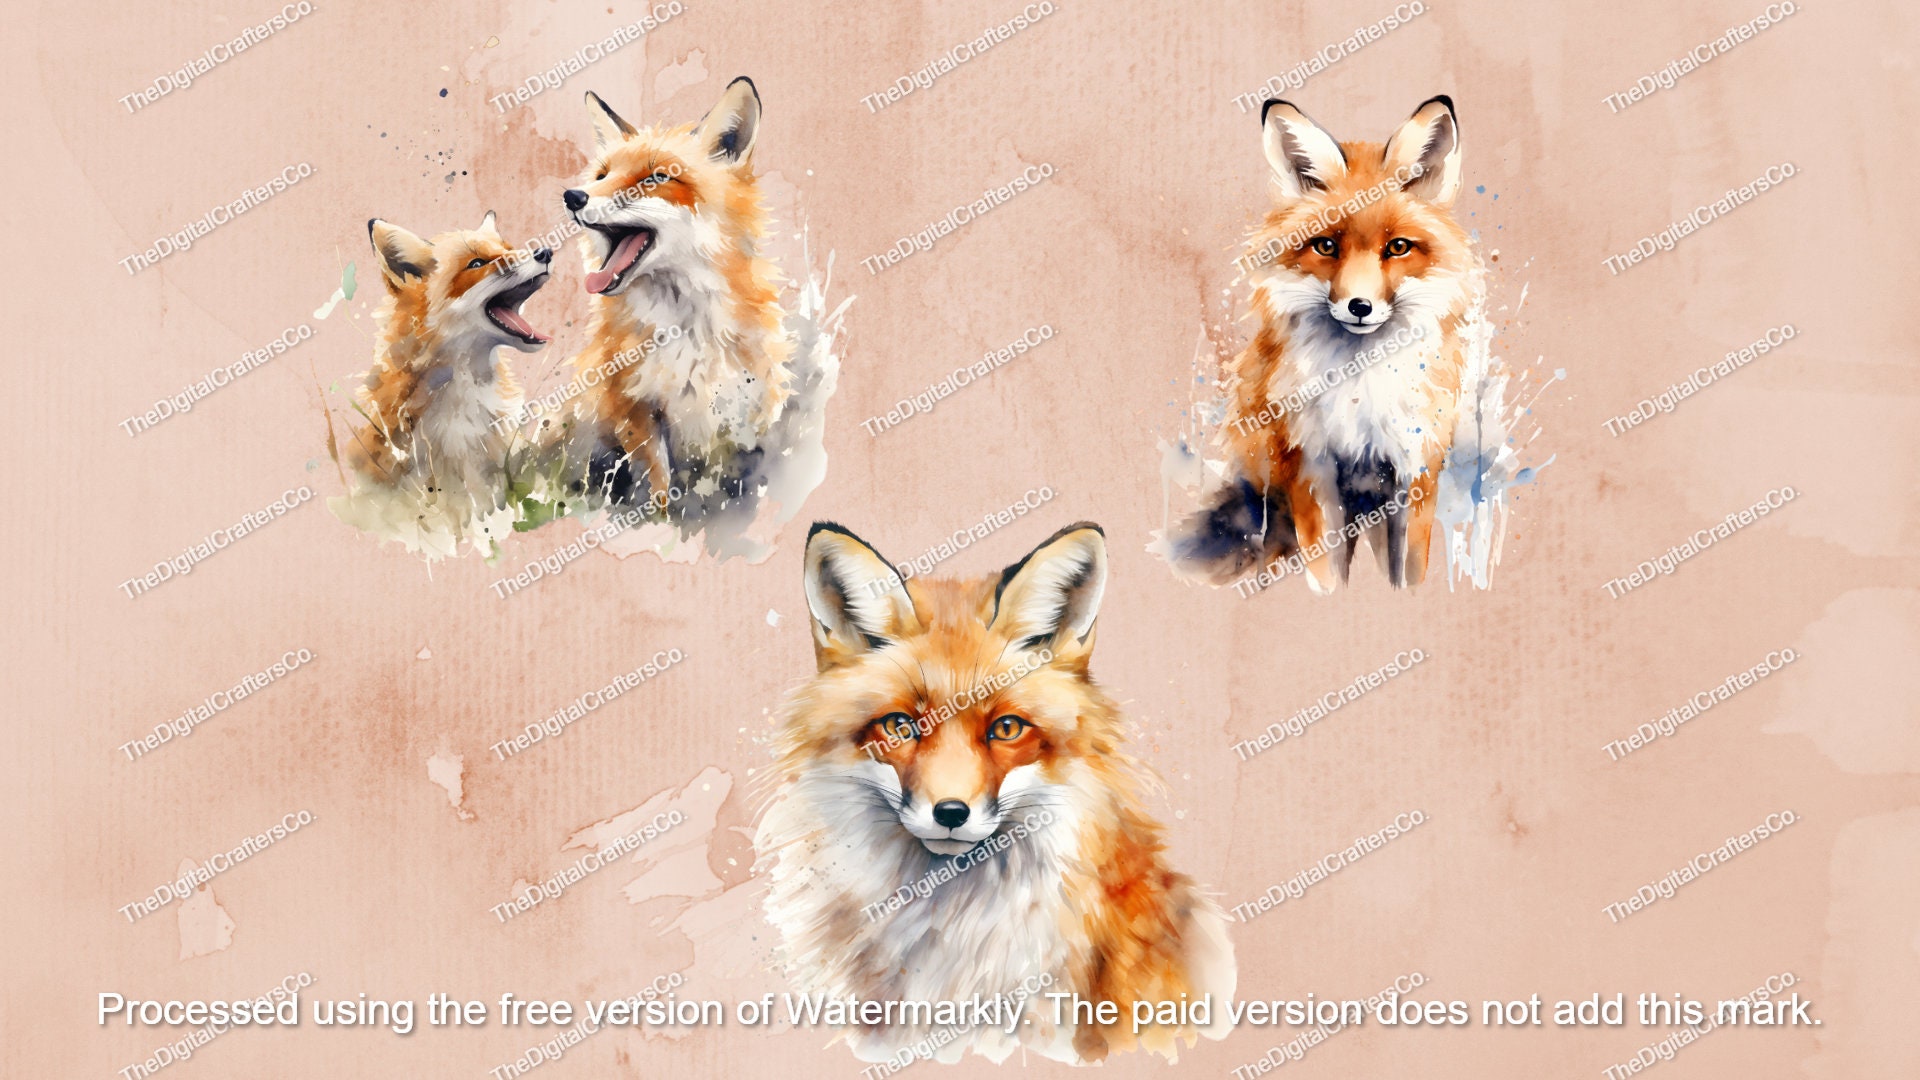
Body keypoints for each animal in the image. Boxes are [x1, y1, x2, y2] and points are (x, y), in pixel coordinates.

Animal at [558, 76, 793, 513]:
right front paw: (661, 520)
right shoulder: (635, 410)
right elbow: (661, 486)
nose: (573, 196)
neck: (684, 327)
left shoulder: (748, 413)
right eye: (601, 175)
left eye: (656, 178)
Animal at [1169, 96, 1472, 593]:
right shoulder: (1311, 471)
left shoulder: (1416, 471)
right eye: (1326, 246)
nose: (1359, 306)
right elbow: (1326, 575)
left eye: (1398, 247)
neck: (1360, 388)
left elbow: (1408, 572)